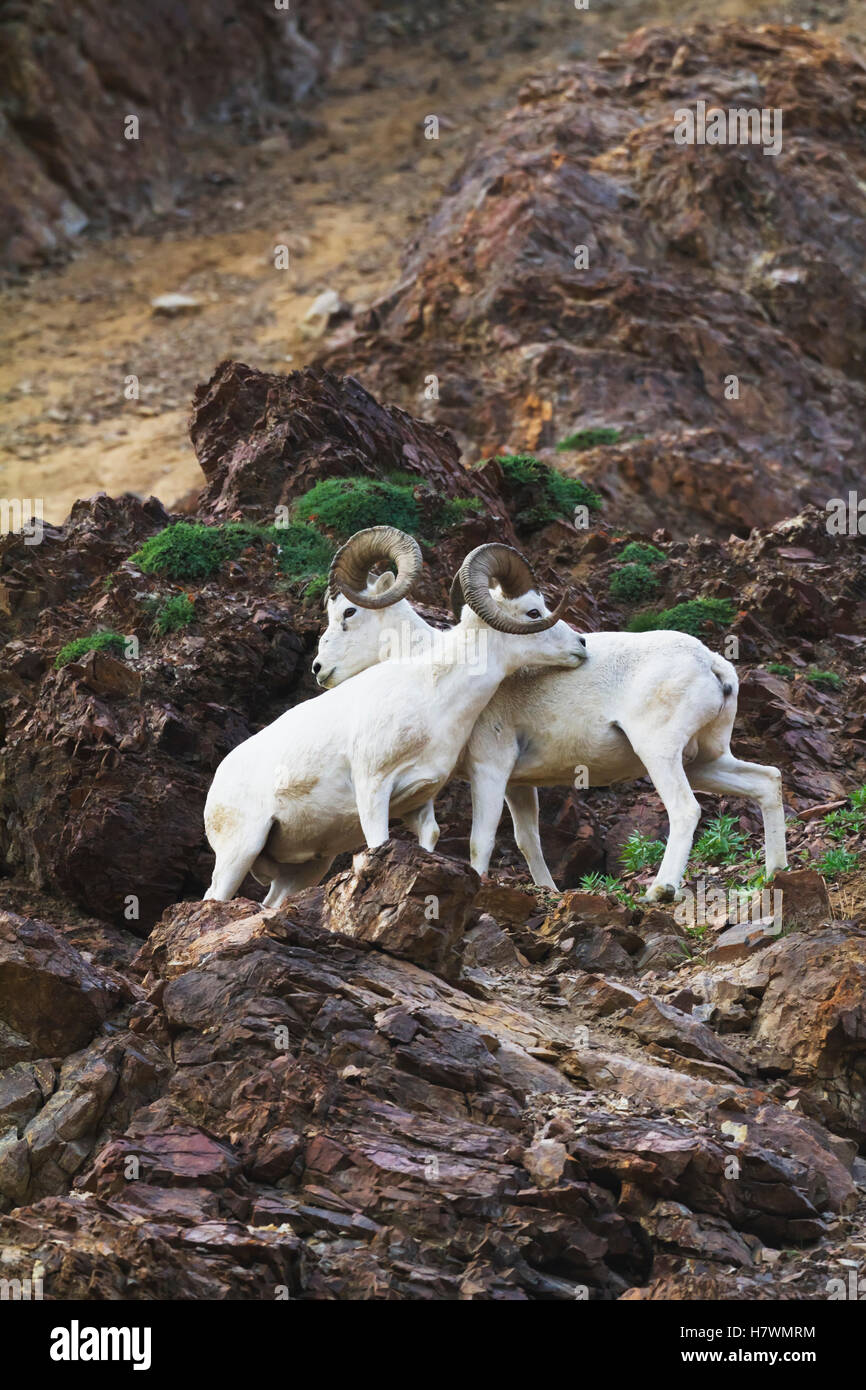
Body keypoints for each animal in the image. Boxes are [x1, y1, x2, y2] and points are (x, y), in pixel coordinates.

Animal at [203, 529, 586, 907]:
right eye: (533, 612)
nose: (581, 644)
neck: (432, 693)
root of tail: (217, 785)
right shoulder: (373, 790)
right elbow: (379, 844)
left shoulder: (418, 801)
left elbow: (430, 836)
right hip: (240, 852)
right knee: (214, 895)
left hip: (302, 870)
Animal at [316, 529, 788, 901]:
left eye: (349, 613)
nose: (319, 669)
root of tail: (712, 663)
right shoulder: (519, 785)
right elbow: (529, 842)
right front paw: (549, 891)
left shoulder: (490, 769)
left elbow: (481, 842)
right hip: (705, 760)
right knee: (766, 782)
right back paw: (774, 876)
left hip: (660, 754)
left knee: (686, 810)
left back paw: (661, 890)